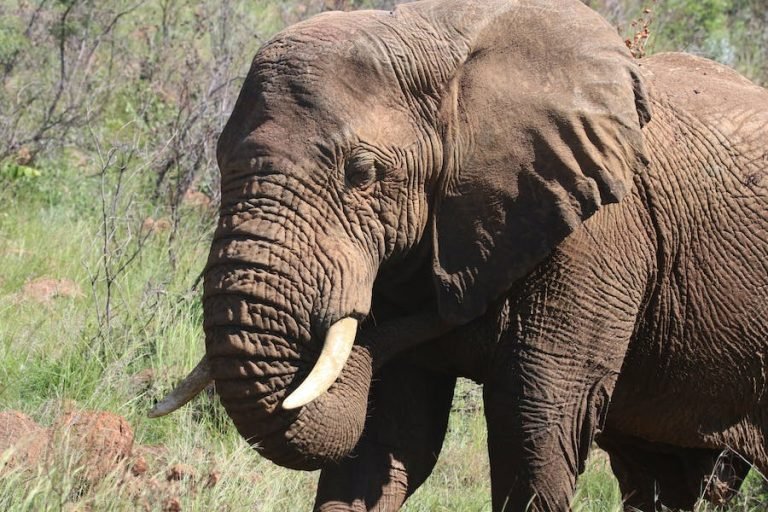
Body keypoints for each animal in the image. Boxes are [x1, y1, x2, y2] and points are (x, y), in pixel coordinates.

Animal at [149, 0, 768, 510]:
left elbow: (537, 421)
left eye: (363, 174)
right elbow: (390, 432)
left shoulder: (597, 238)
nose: (456, 305)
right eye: (218, 162)